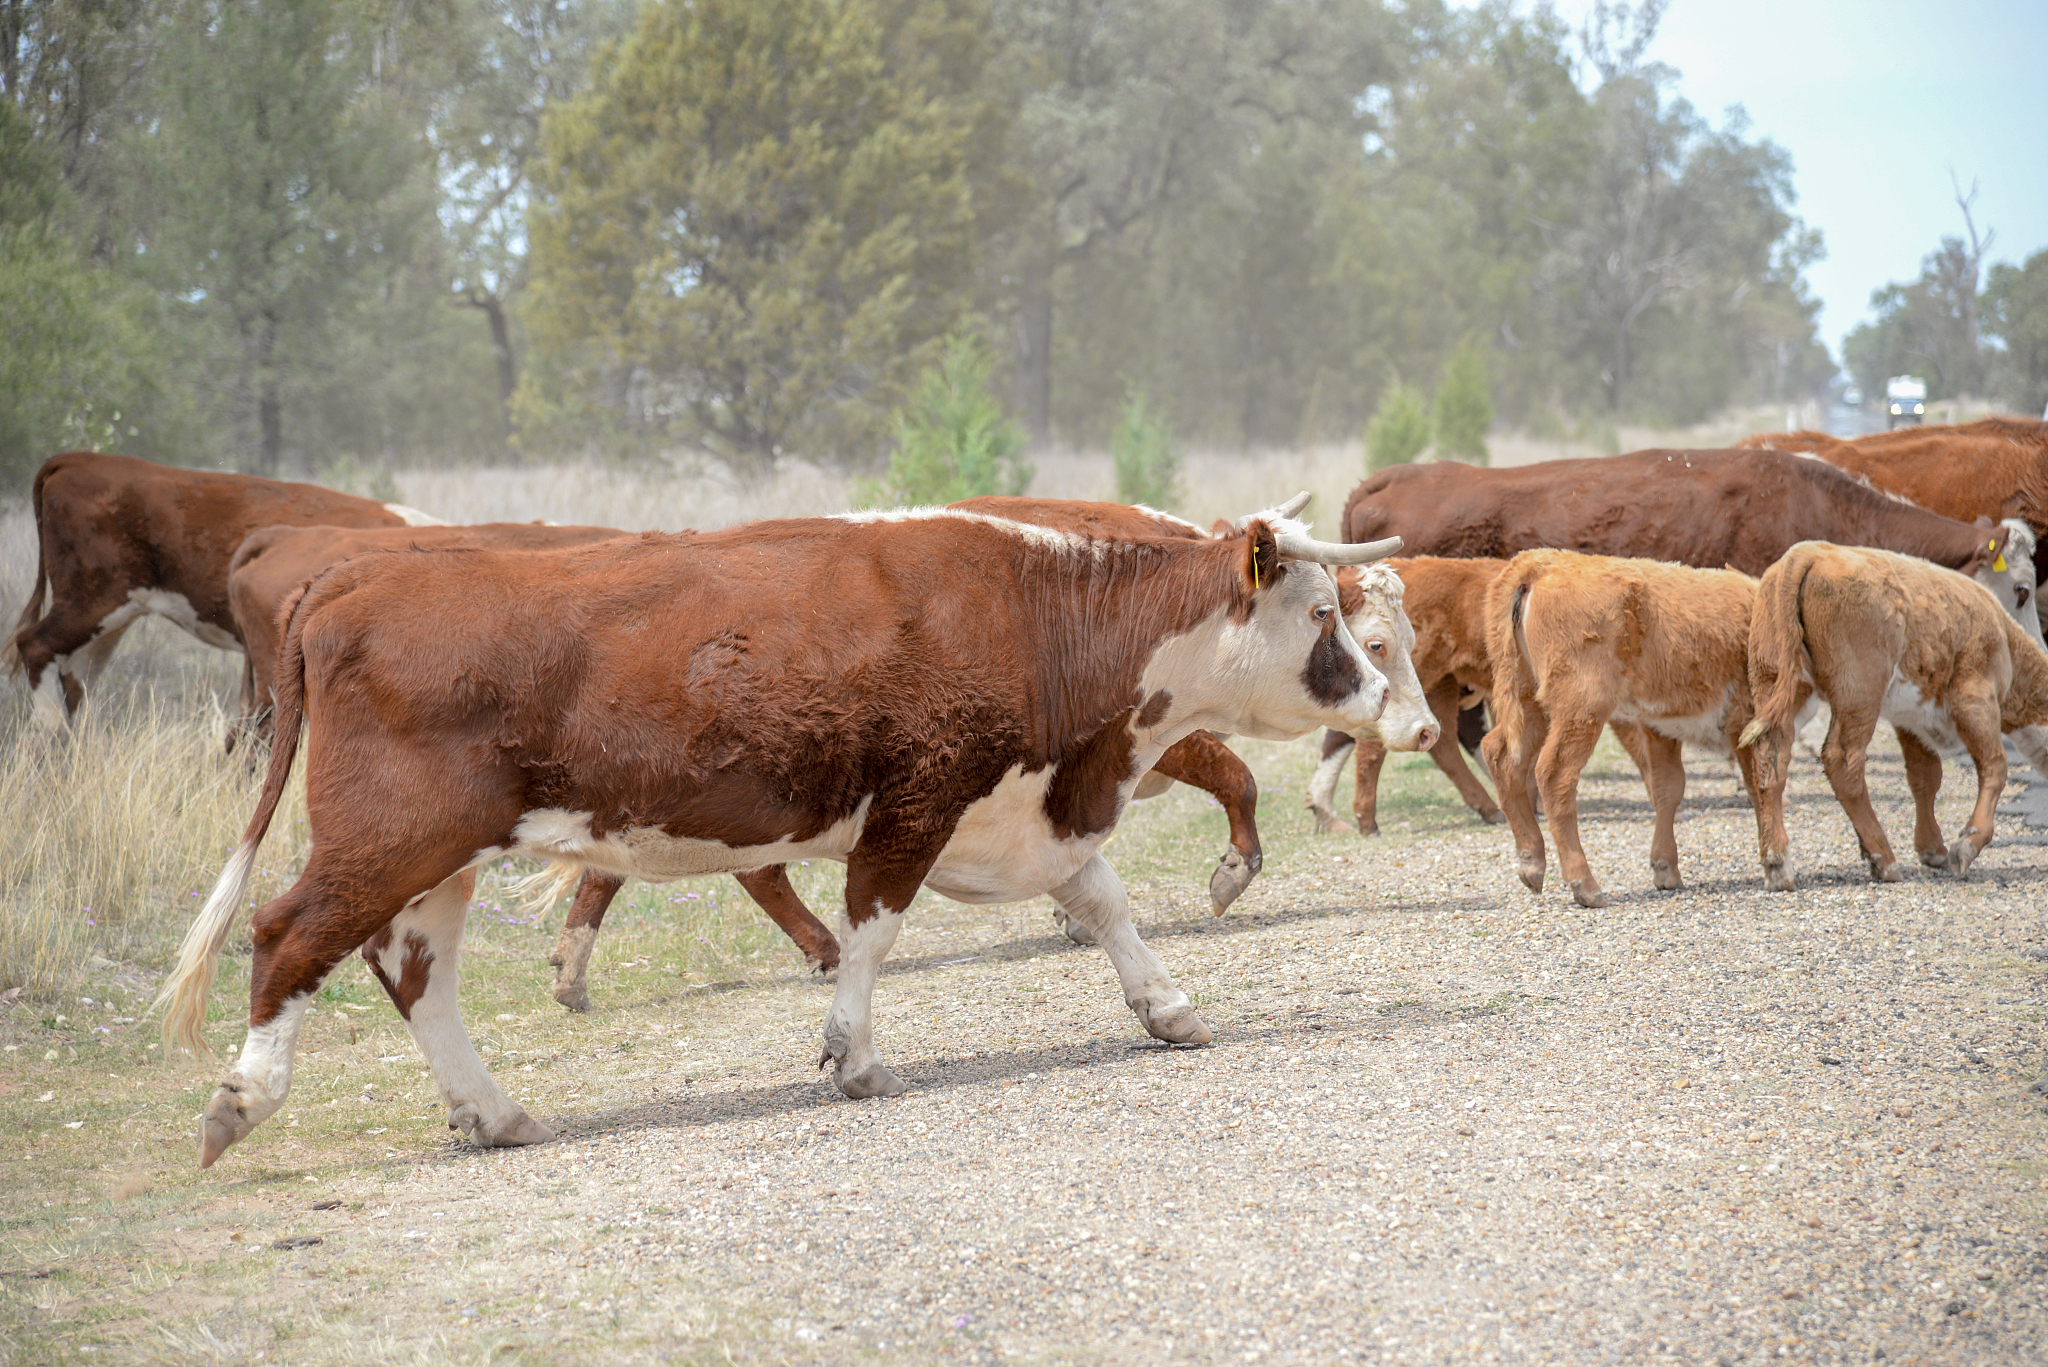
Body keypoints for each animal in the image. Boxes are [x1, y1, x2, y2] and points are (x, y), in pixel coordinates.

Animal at [156, 504, 1403, 1166]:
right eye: (1325, 615)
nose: (1386, 696)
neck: (1033, 612)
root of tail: (353, 572)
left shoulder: (1019, 807)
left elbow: (1102, 903)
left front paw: (1167, 1006)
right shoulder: (915, 803)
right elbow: (870, 929)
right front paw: (853, 1054)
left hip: (437, 860)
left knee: (414, 970)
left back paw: (493, 1110)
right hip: (390, 837)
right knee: (289, 934)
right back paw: (242, 1099)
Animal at [1478, 550, 1779, 908]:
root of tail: (1538, 565)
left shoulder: (1660, 727)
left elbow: (1668, 787)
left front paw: (1666, 871)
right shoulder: (1745, 720)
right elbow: (1761, 786)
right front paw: (1777, 866)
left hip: (1529, 703)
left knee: (1500, 756)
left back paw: (1532, 864)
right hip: (1582, 709)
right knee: (1554, 774)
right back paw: (1586, 886)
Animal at [1741, 543, 2048, 884]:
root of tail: (1812, 551)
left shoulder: (1911, 718)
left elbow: (1925, 776)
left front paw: (1932, 848)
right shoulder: (1974, 697)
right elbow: (1995, 766)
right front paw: (1967, 845)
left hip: (1777, 680)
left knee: (1771, 757)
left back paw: (1778, 863)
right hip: (1859, 692)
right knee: (1843, 761)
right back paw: (1883, 858)